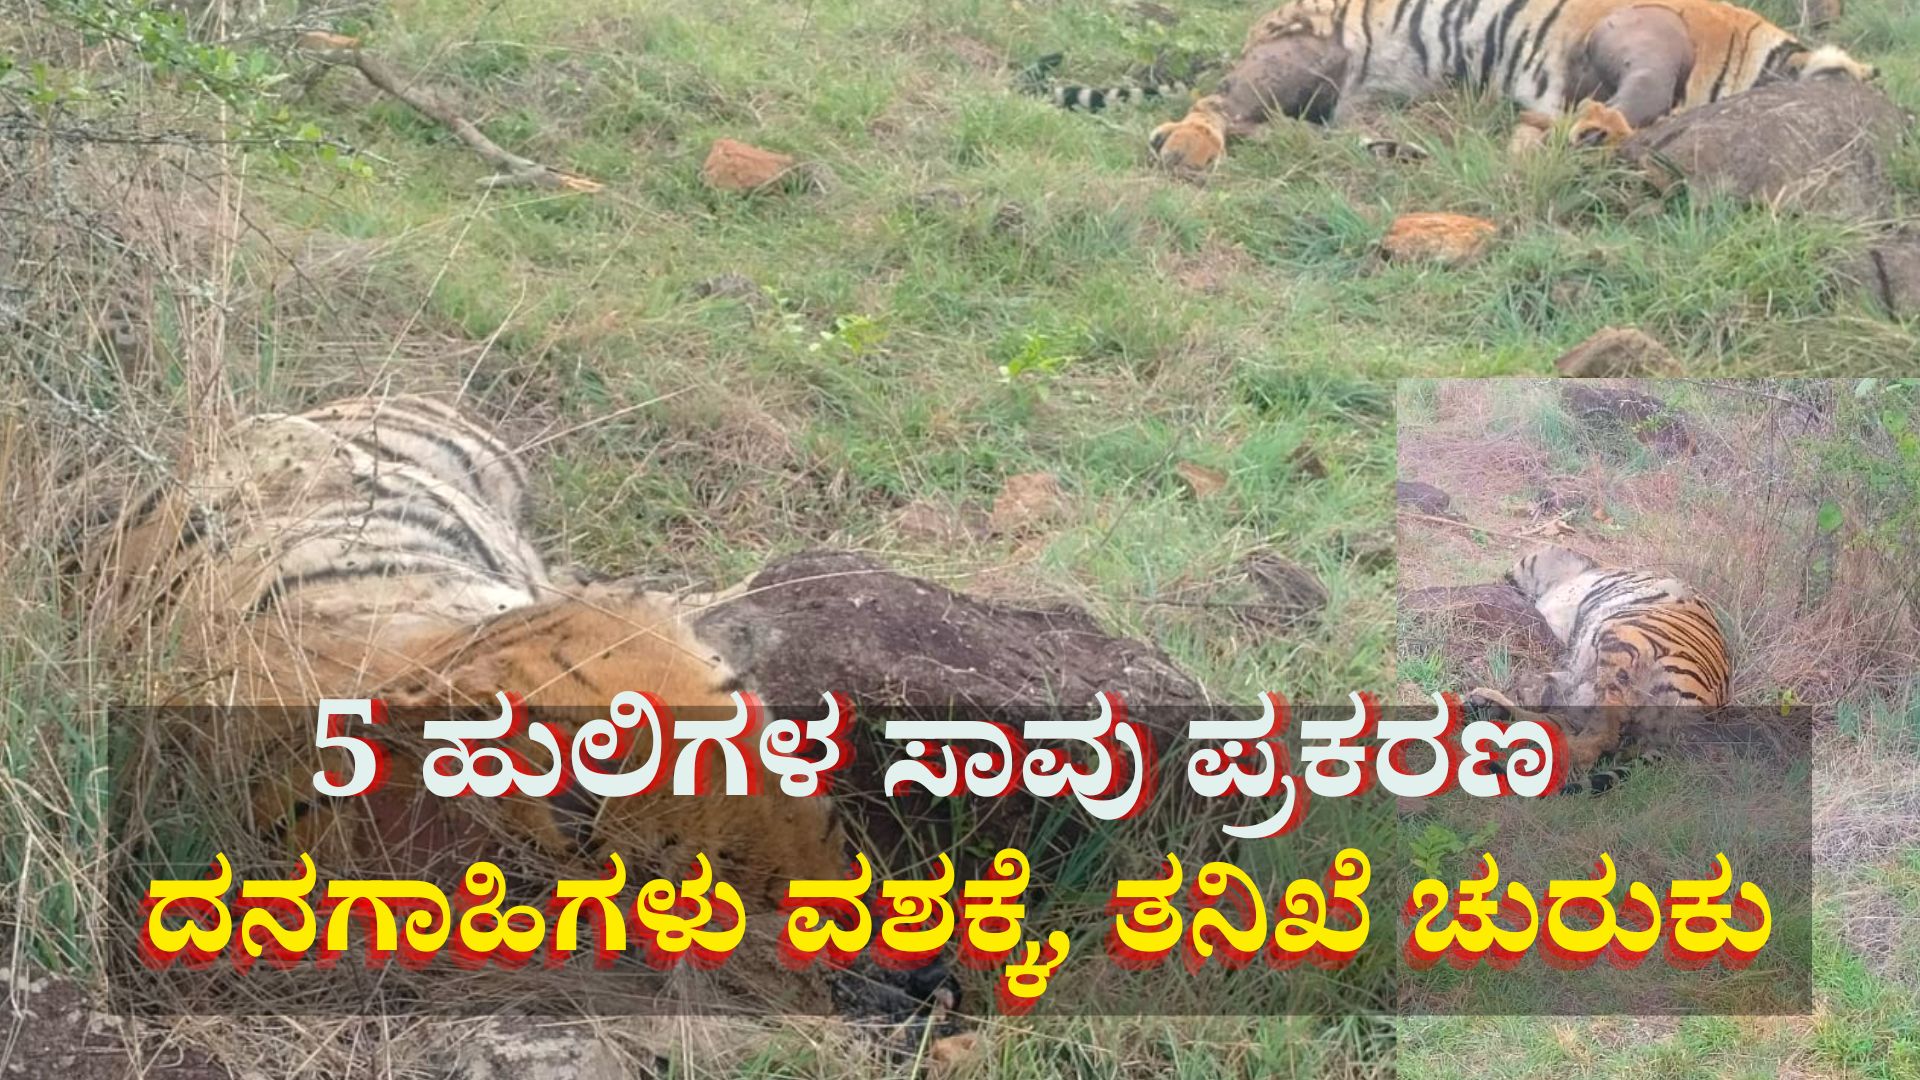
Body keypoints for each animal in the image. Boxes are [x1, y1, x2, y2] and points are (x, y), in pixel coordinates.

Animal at [1463, 543, 1732, 794]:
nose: (1505, 577)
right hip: (1591, 696)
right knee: (1567, 727)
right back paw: (1487, 706)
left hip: (1621, 641)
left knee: (1593, 742)